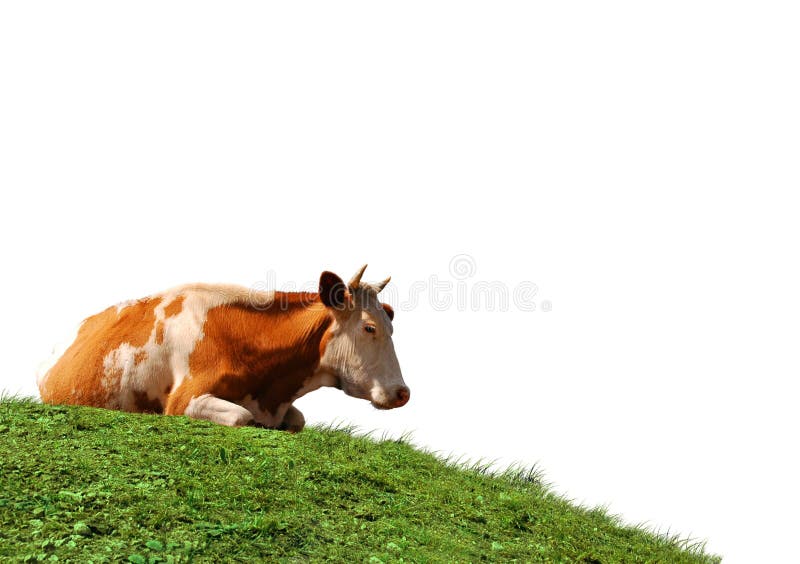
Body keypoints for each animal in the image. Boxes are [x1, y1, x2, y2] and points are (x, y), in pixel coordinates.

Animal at [37, 265, 409, 431]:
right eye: (369, 327)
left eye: (392, 326)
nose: (402, 393)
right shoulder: (184, 399)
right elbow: (240, 417)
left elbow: (298, 420)